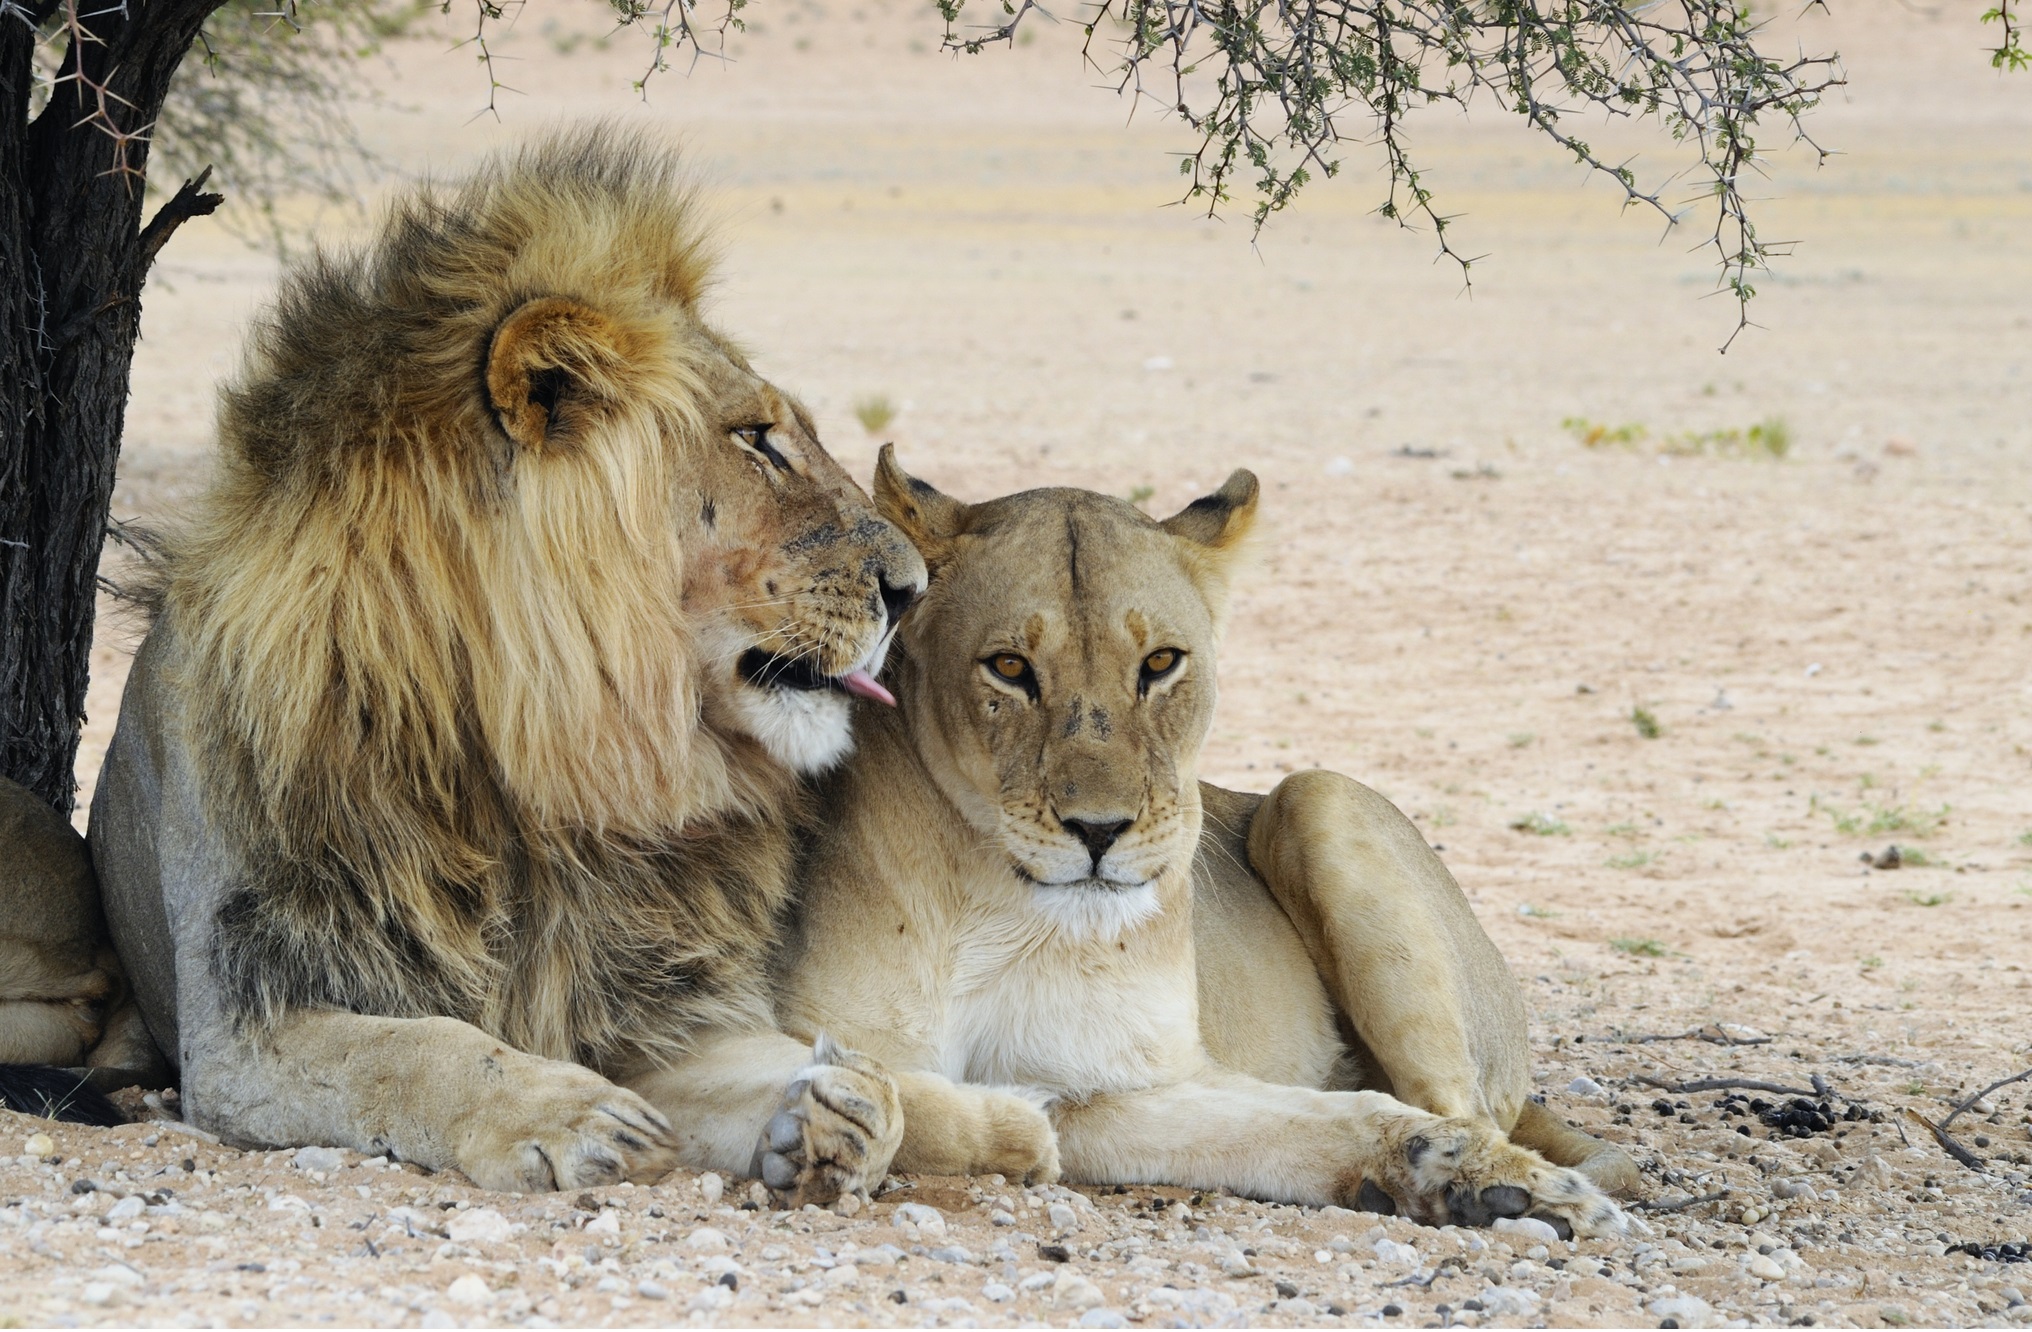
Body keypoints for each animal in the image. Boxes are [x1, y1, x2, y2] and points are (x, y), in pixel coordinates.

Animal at [84, 131, 921, 1197]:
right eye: (756, 440)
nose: (914, 588)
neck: (542, 750)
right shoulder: (245, 1010)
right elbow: (419, 1049)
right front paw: (571, 1113)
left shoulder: (650, 998)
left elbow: (845, 1084)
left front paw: (838, 1110)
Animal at [767, 450, 1637, 1228]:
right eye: (1009, 667)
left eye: (1160, 663)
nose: (1099, 831)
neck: (1001, 908)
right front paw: (849, 1125)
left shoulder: (1126, 1078)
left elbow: (1329, 1117)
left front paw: (1477, 1177)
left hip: (1314, 796)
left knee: (1464, 1104)